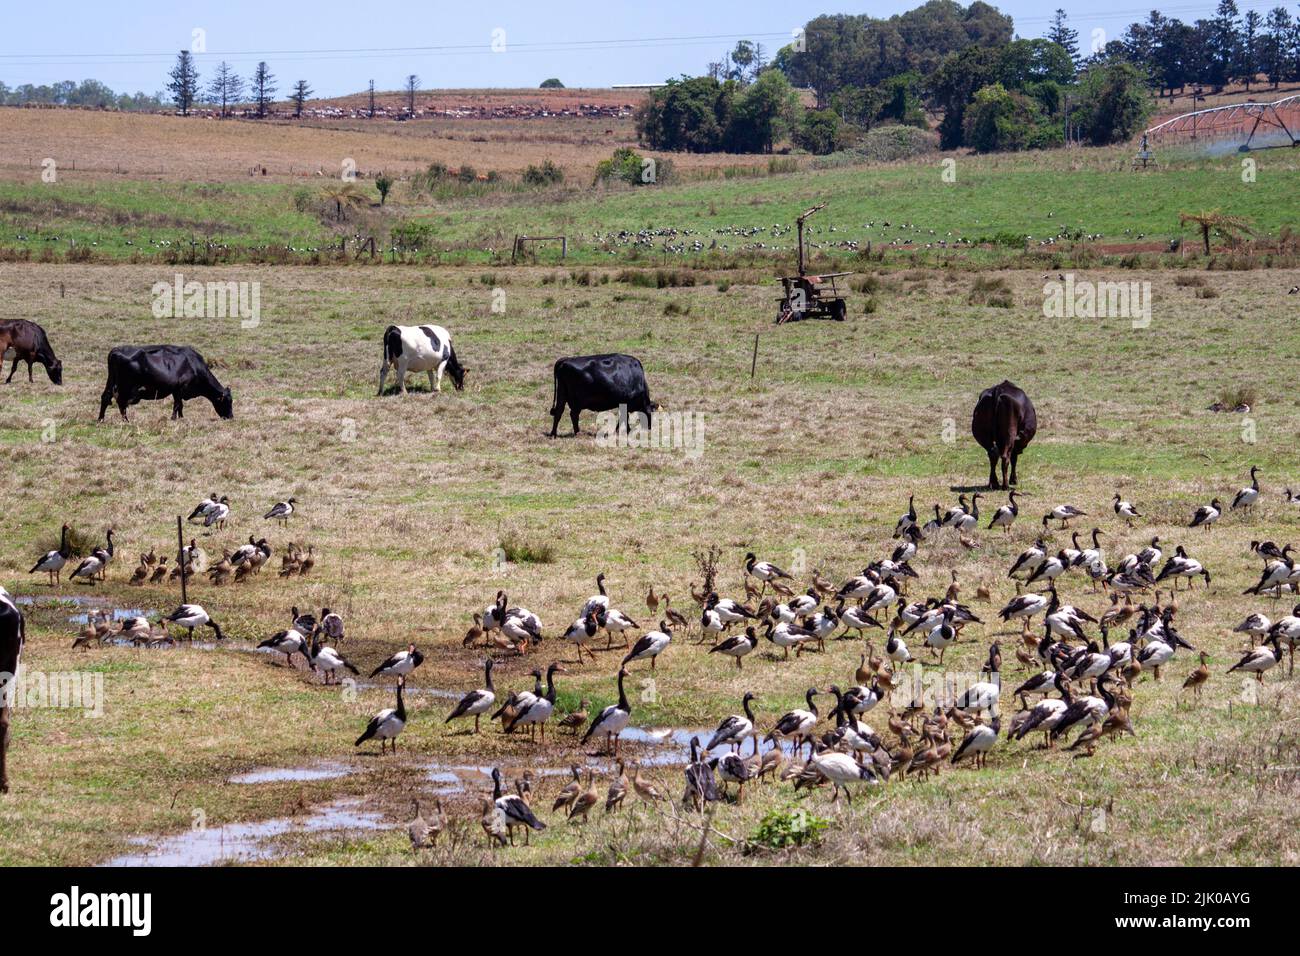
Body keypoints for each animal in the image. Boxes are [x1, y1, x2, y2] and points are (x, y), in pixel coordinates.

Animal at [98, 345, 234, 422]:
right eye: (228, 402)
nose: (231, 417)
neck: (194, 365)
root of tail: (116, 350)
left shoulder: (175, 390)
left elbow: (179, 405)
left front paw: (181, 418)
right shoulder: (180, 388)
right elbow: (177, 405)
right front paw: (174, 418)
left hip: (111, 382)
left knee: (106, 397)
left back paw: (101, 420)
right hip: (126, 387)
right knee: (121, 402)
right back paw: (126, 421)